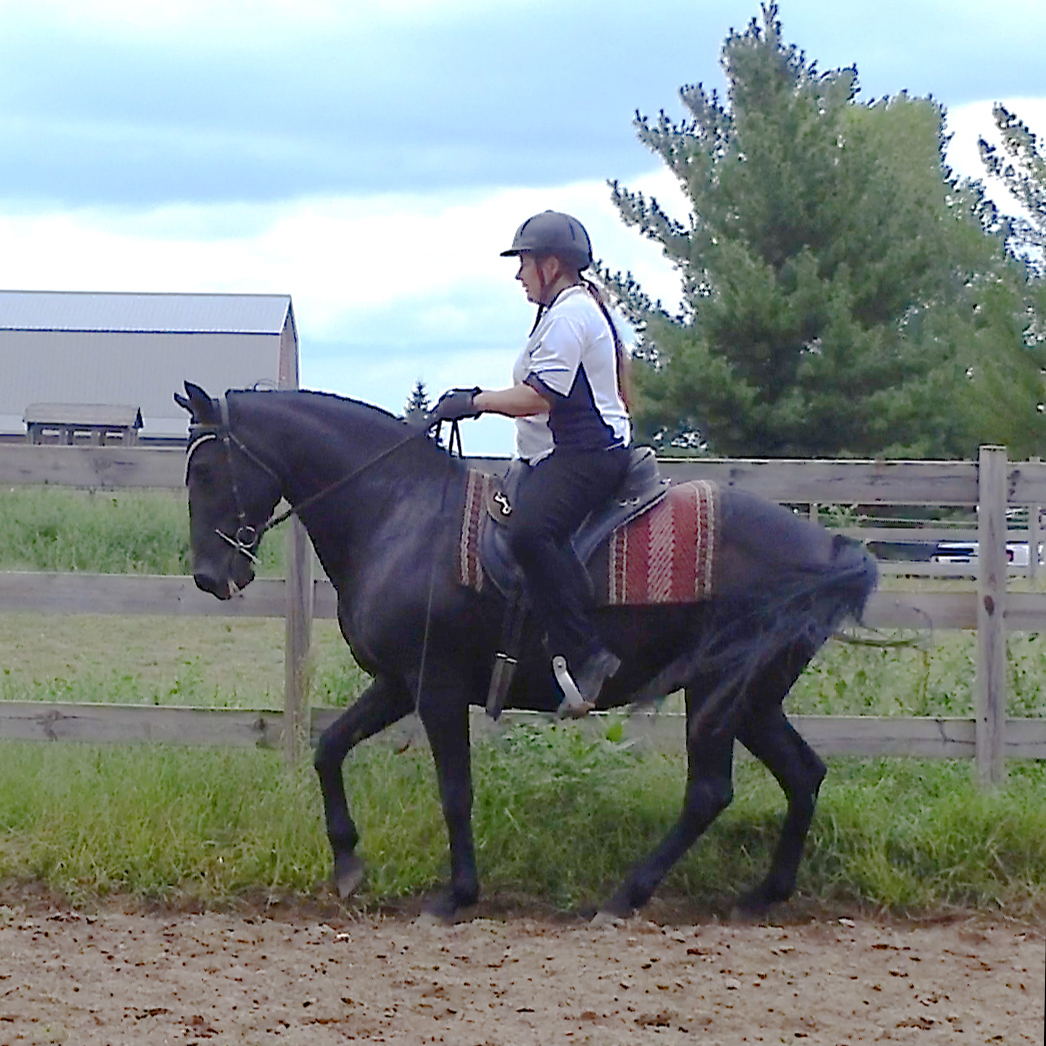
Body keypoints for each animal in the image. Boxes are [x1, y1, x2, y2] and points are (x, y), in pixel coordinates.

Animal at [175, 382, 877, 920]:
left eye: (205, 471)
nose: (209, 577)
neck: (400, 513)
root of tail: (826, 549)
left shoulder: (436, 687)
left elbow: (455, 789)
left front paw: (457, 895)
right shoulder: (399, 683)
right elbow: (329, 748)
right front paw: (348, 862)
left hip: (720, 690)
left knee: (710, 792)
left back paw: (627, 896)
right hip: (754, 698)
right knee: (803, 773)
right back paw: (764, 895)